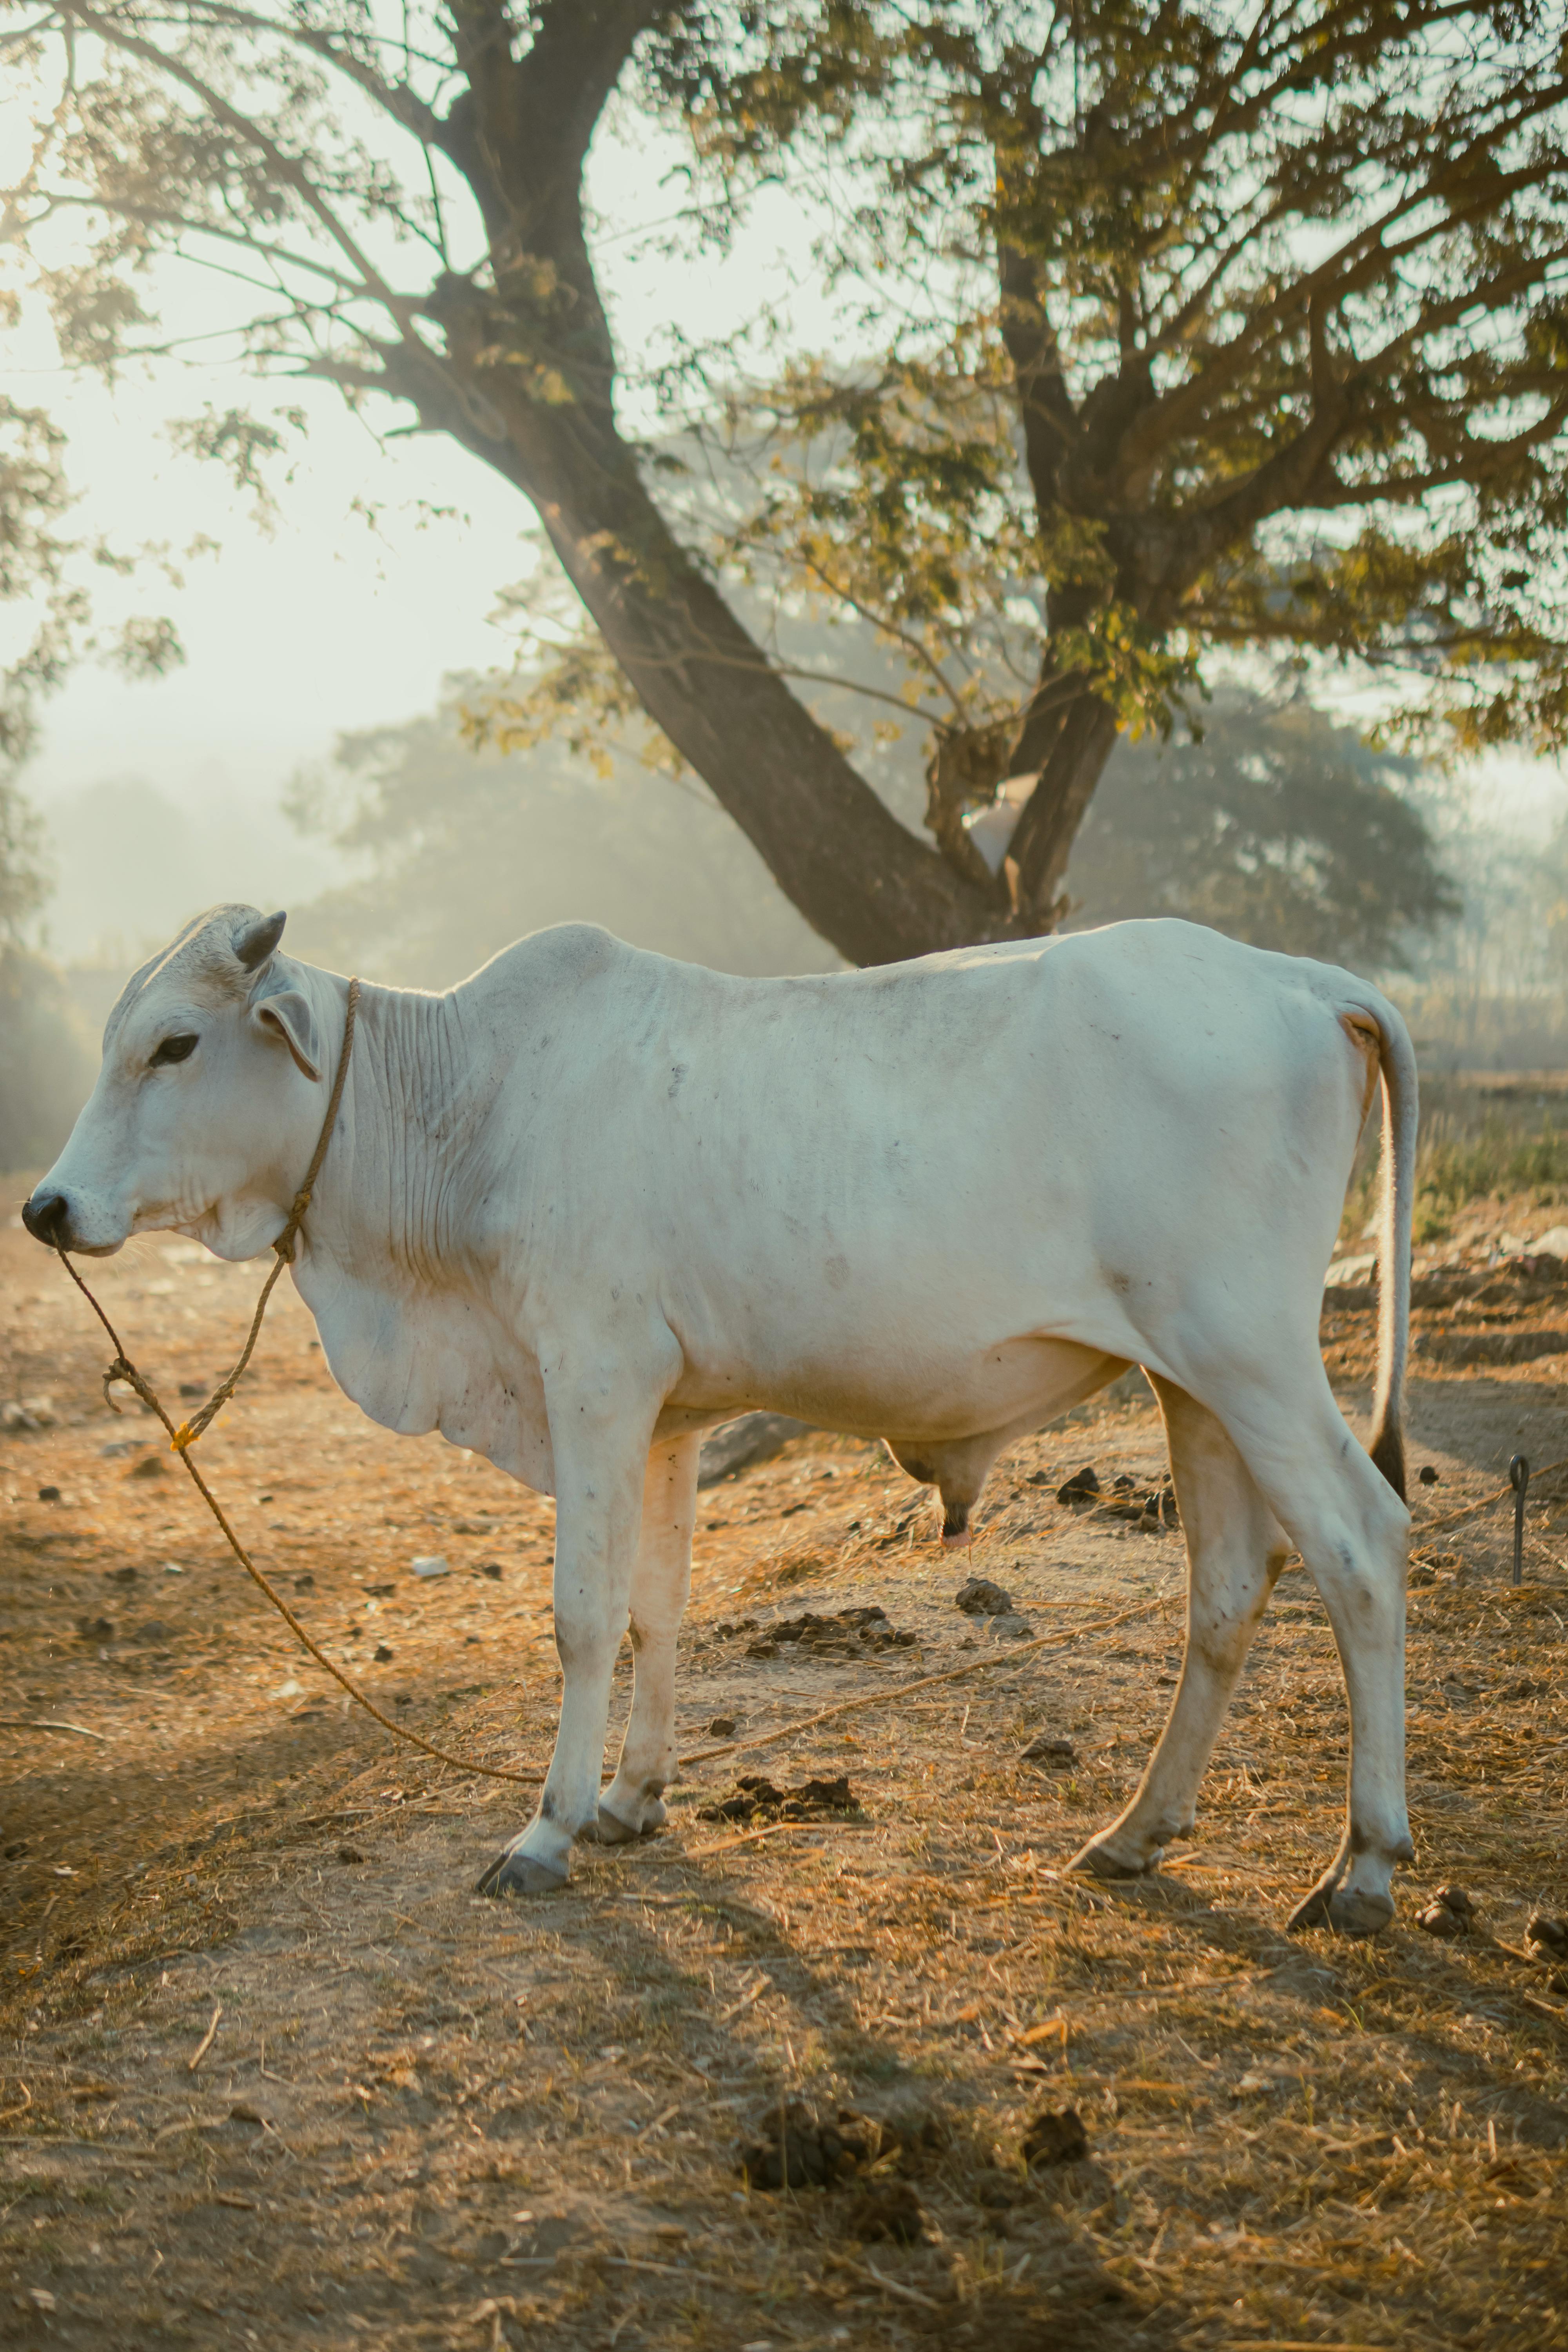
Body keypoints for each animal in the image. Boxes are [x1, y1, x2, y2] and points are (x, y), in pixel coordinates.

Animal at [22, 905, 1415, 1934]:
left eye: (176, 1045)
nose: (47, 1206)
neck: (460, 1104)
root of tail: (1300, 979)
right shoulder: (668, 1416)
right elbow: (658, 1604)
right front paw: (630, 1799)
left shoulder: (593, 1375)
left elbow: (584, 1616)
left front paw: (545, 1828)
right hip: (1191, 1380)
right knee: (1226, 1584)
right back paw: (1136, 1831)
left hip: (1251, 1356)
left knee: (1362, 1548)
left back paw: (1362, 1862)